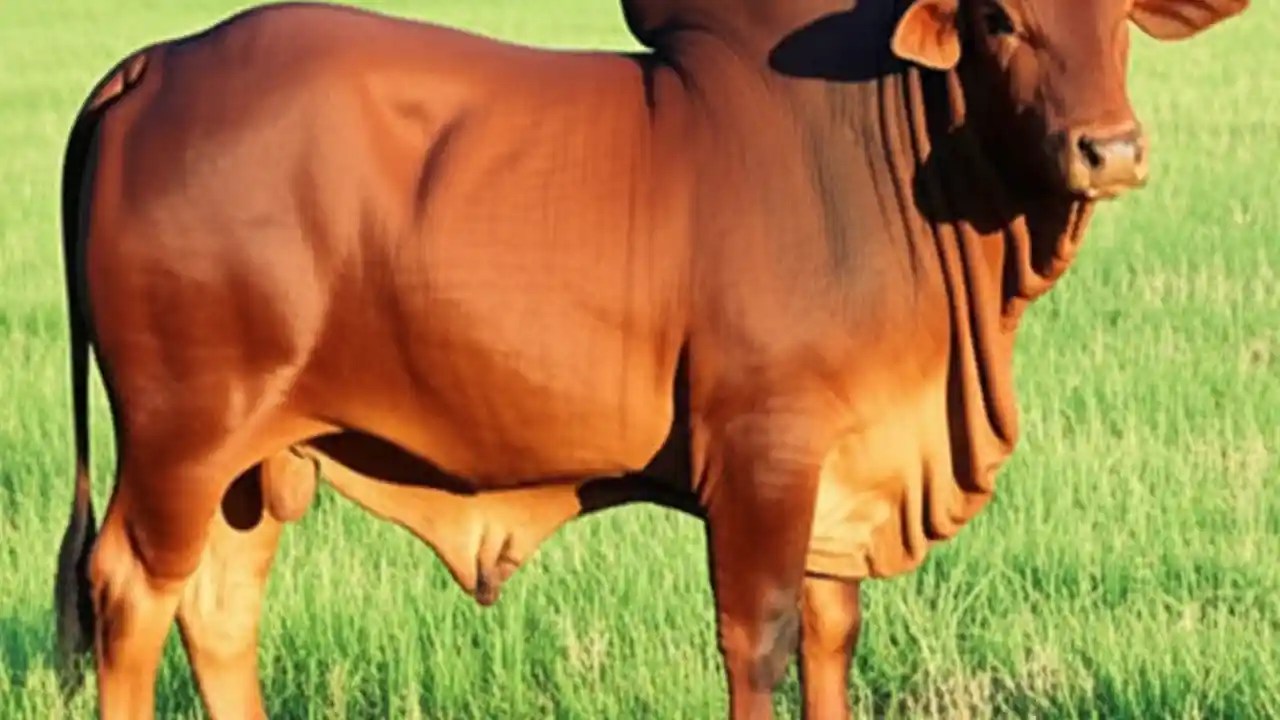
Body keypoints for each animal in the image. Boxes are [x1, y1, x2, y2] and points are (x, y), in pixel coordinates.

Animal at [52, 0, 1248, 718]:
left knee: (219, 605)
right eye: (999, 15)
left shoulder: (842, 471)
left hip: (256, 460)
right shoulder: (763, 456)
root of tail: (153, 65)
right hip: (183, 432)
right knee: (132, 593)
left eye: (1120, 13)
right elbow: (758, 638)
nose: (1110, 150)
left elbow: (831, 632)